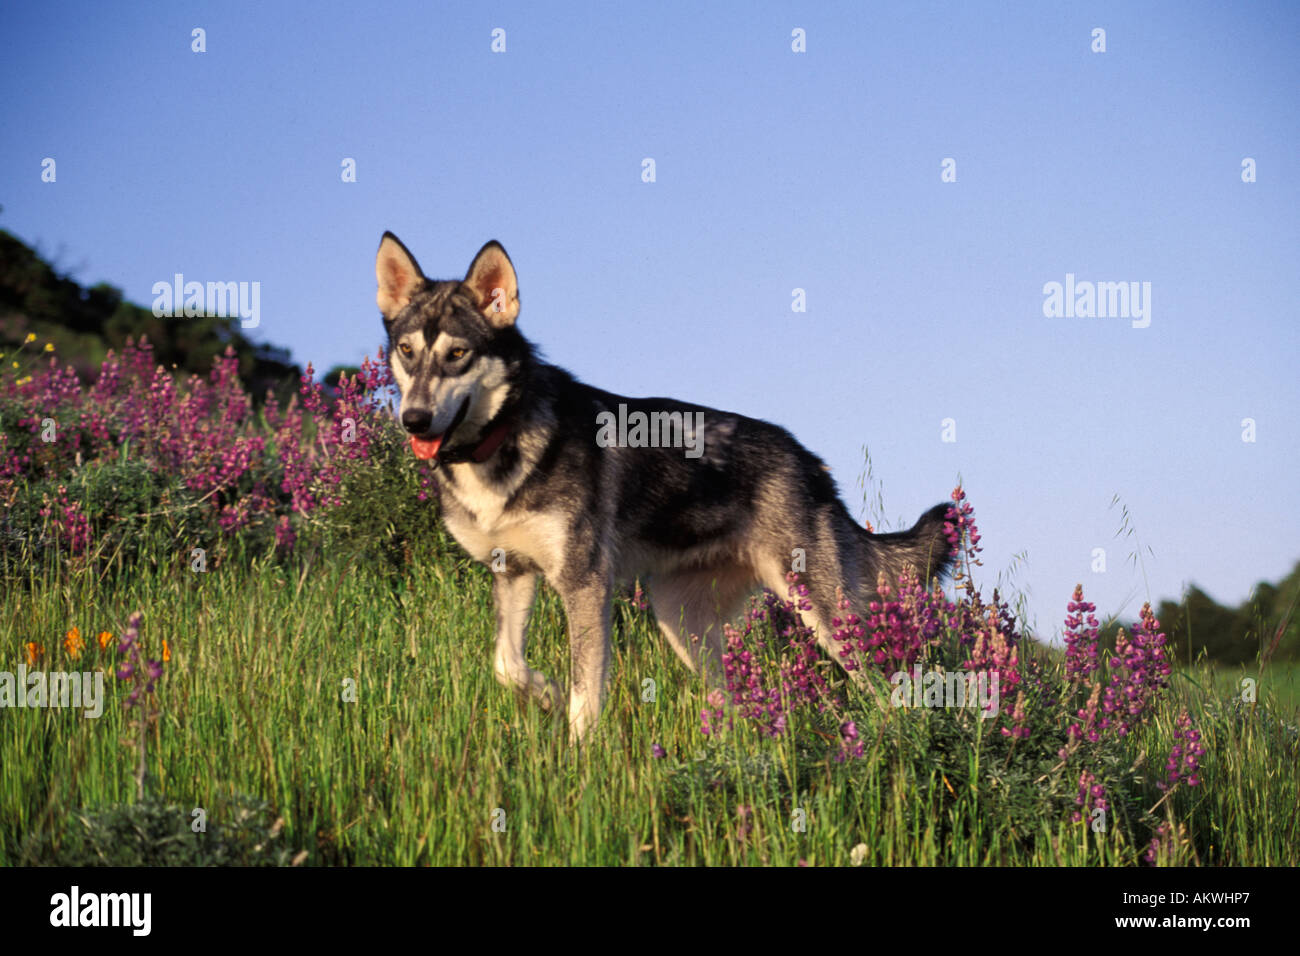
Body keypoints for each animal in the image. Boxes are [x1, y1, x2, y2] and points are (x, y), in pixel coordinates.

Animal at [374, 234, 955, 742]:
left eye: (457, 354)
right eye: (405, 351)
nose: (414, 419)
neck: (502, 442)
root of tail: (811, 463)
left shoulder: (585, 585)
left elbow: (587, 697)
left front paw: (580, 759)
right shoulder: (514, 573)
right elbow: (506, 664)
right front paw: (547, 694)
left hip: (824, 615)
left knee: (885, 688)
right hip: (682, 623)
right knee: (735, 702)